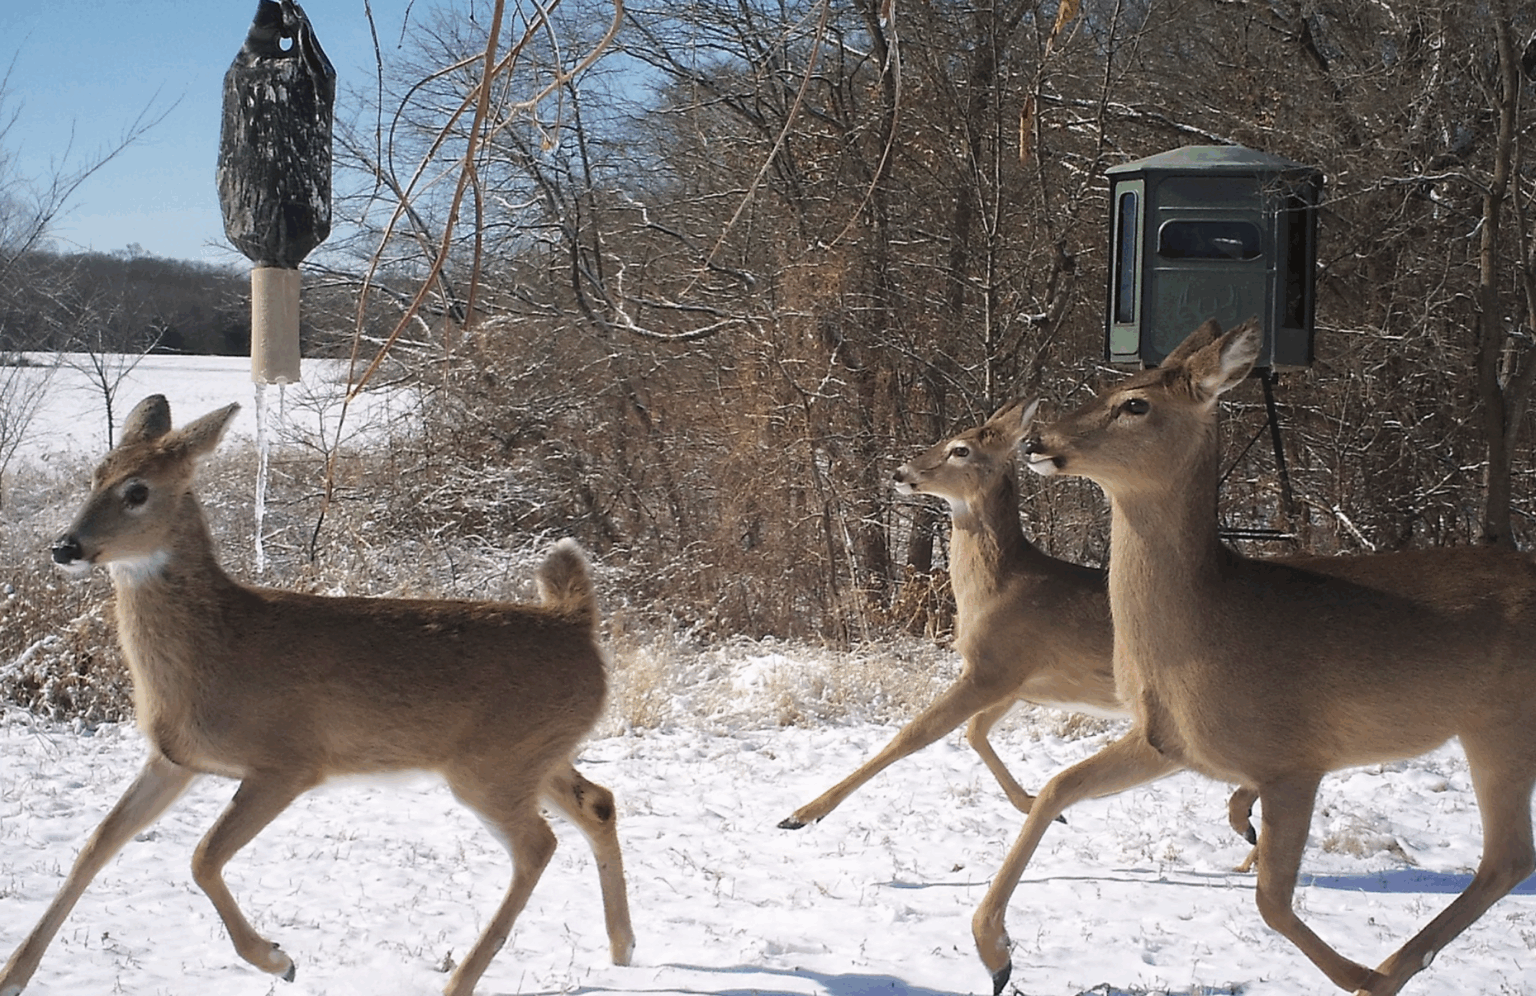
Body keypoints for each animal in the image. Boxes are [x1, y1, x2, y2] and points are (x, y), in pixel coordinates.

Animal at [0, 395, 634, 996]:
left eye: (137, 490)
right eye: (95, 475)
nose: (65, 546)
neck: (214, 649)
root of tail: (576, 624)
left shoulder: (289, 760)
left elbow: (203, 856)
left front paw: (278, 960)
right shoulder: (174, 758)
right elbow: (97, 843)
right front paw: (14, 974)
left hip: (492, 765)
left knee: (538, 844)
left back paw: (460, 980)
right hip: (535, 753)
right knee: (598, 802)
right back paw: (622, 946)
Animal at [964, 318, 1536, 996]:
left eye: (1135, 403)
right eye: (1110, 385)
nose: (1037, 441)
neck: (1208, 627)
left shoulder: (1293, 759)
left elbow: (1271, 902)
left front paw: (1355, 975)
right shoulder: (1169, 740)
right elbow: (1057, 787)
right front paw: (995, 950)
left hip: (1502, 724)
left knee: (1508, 857)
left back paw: (1383, 973)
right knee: (1507, 858)